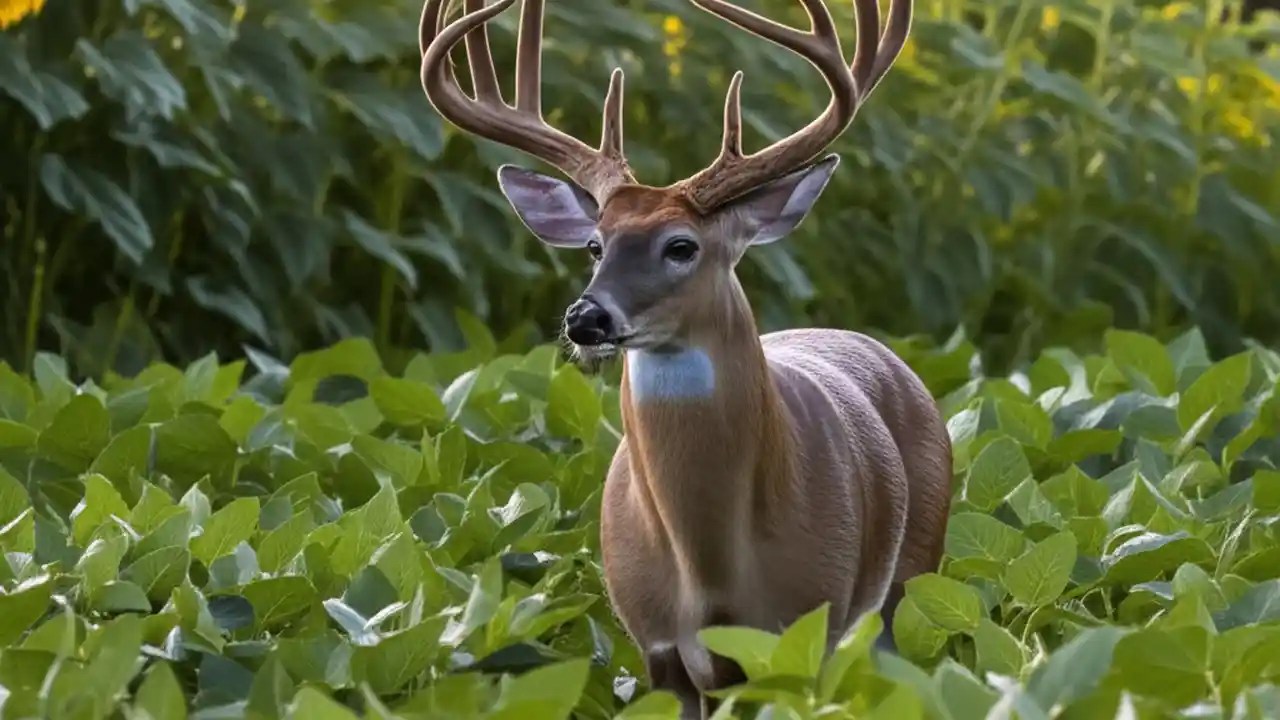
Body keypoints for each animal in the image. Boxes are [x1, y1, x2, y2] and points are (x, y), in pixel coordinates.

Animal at [418, 0, 952, 717]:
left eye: (681, 246)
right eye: (595, 245)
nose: (585, 319)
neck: (712, 572)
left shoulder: (801, 635)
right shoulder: (657, 649)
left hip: (910, 582)